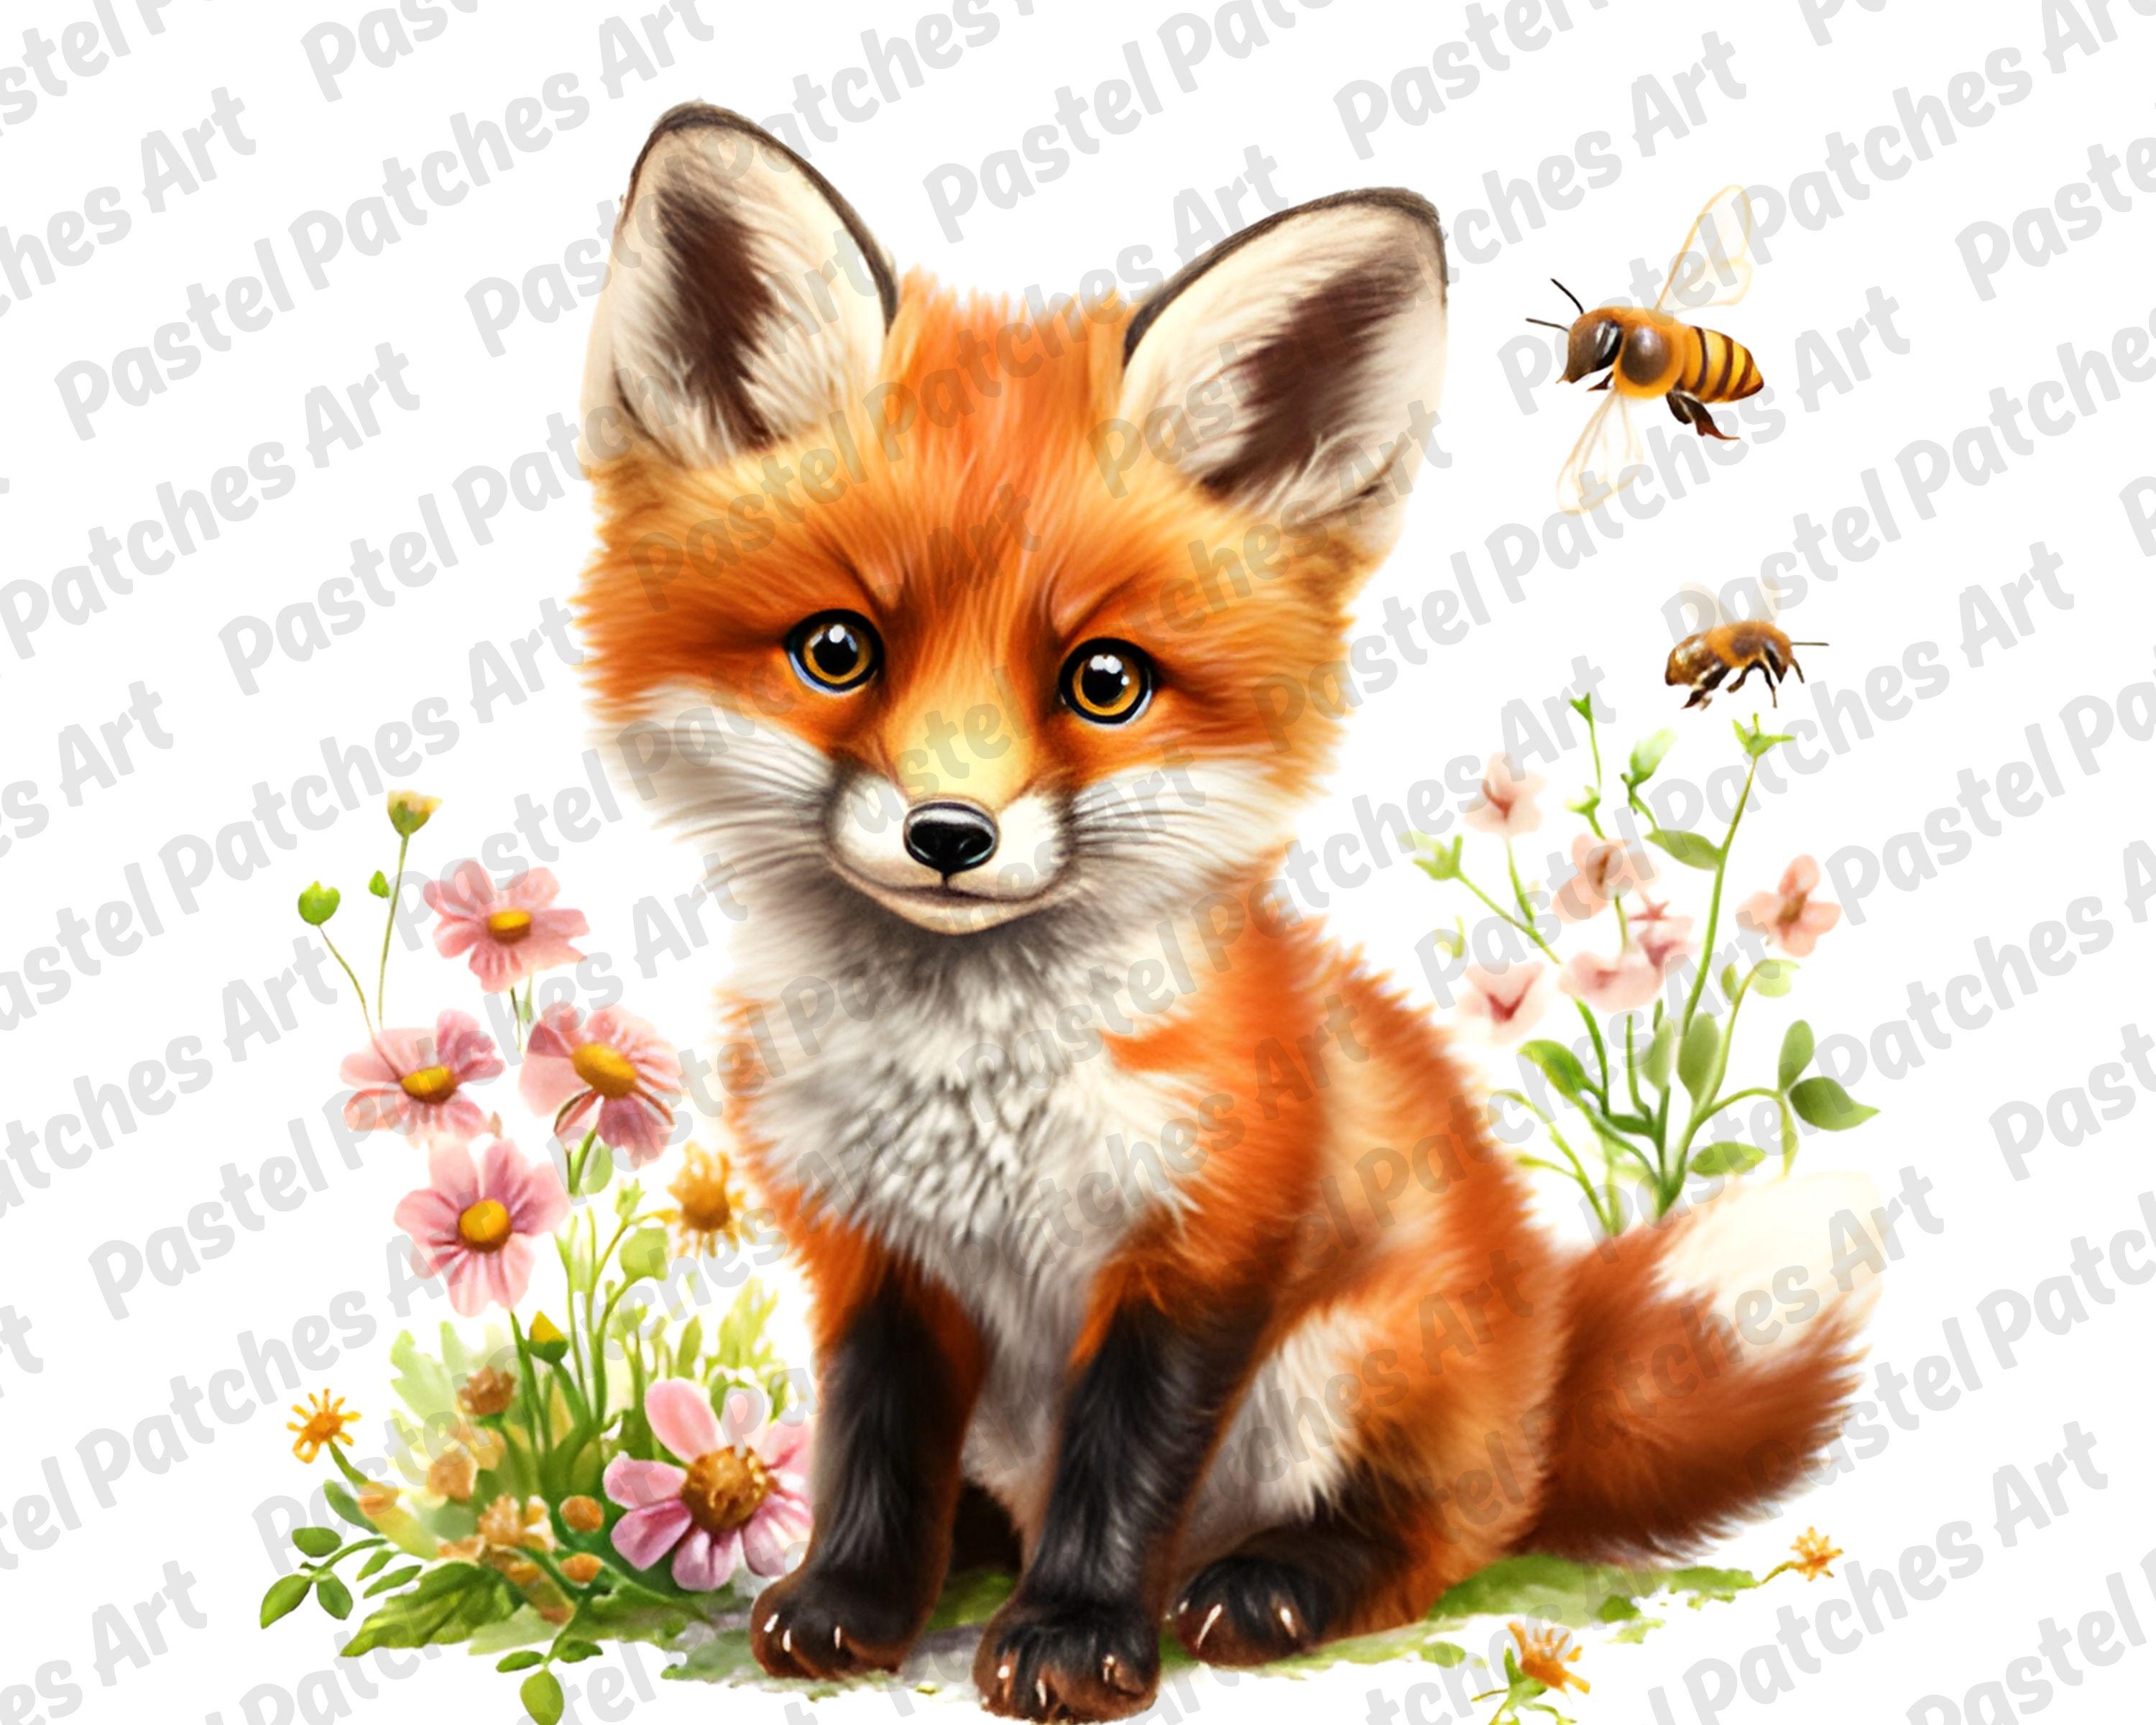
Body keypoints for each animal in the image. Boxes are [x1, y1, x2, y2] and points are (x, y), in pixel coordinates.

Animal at [573, 105, 1881, 1722]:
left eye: (1105, 681)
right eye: (836, 651)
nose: (950, 837)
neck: (972, 1083)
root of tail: (1550, 1365)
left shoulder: (1205, 1241)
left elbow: (1124, 1466)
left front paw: (1076, 1637)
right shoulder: (877, 1251)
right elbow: (875, 1447)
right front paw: (855, 1605)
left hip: (1358, 1360)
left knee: (1433, 1537)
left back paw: (1271, 1584)